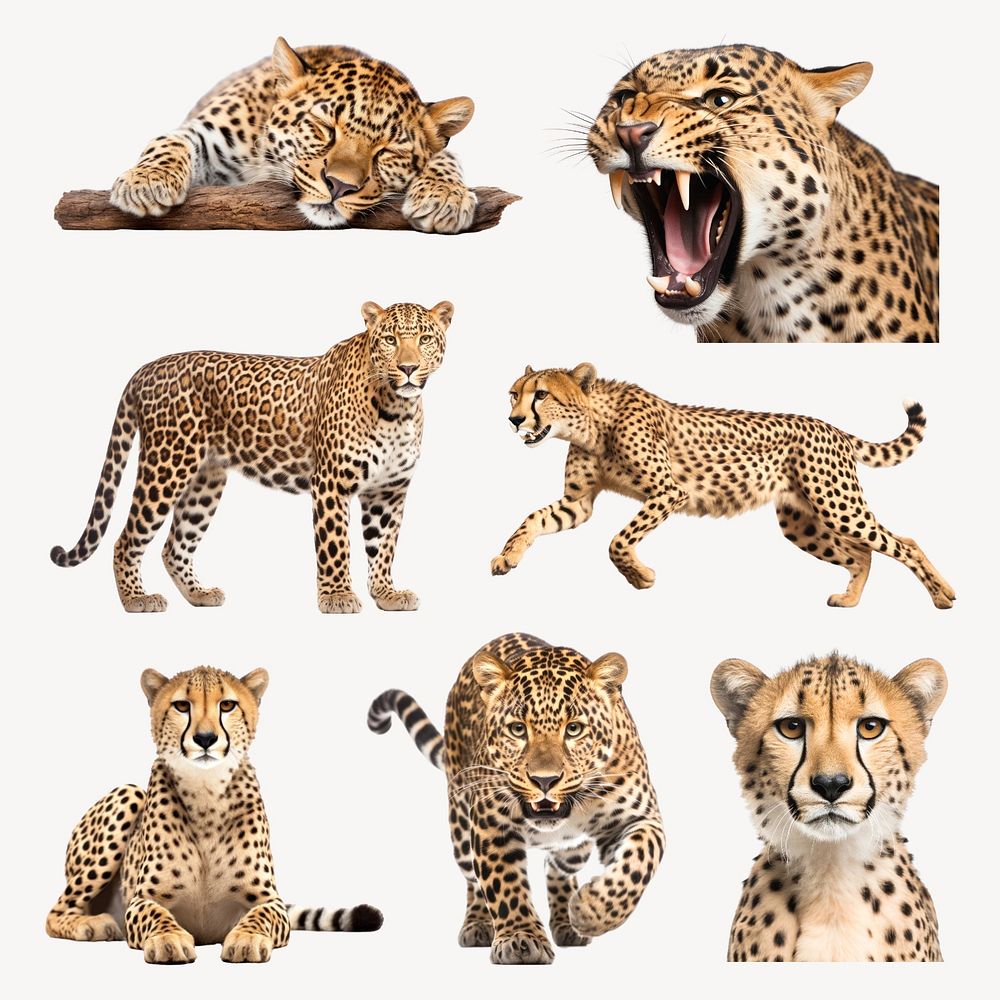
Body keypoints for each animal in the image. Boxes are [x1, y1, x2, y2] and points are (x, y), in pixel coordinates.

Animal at [45, 665, 382, 964]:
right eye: (182, 706)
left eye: (227, 705)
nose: (205, 738)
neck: (206, 794)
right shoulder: (142, 899)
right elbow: (155, 914)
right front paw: (168, 938)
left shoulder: (271, 901)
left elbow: (261, 915)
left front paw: (247, 938)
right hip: (129, 794)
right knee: (56, 912)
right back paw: (95, 924)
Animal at [50, 300, 454, 613]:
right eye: (389, 339)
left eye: (424, 339)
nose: (407, 368)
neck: (397, 409)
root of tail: (146, 369)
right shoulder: (331, 484)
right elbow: (335, 543)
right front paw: (337, 596)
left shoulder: (388, 491)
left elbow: (383, 545)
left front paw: (386, 593)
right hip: (167, 465)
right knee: (126, 539)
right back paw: (137, 599)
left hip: (205, 481)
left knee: (174, 546)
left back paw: (199, 594)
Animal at [109, 37, 478, 233]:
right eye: (325, 128)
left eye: (387, 152)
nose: (340, 186)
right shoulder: (212, 132)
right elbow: (171, 140)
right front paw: (147, 182)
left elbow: (445, 156)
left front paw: (445, 199)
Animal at [367, 632, 663, 965]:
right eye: (518, 729)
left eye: (574, 729)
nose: (545, 780)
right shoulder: (490, 823)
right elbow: (503, 884)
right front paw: (522, 939)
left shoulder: (642, 816)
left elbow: (639, 862)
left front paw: (591, 911)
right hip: (460, 824)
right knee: (473, 880)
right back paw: (478, 925)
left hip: (574, 851)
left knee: (558, 866)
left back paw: (567, 922)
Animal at [492, 364, 954, 608]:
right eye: (513, 394)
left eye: (541, 395)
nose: (513, 420)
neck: (592, 425)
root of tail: (832, 427)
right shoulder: (579, 502)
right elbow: (532, 518)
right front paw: (506, 557)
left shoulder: (668, 491)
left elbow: (617, 541)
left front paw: (640, 576)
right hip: (801, 522)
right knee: (862, 553)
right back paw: (850, 600)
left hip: (838, 504)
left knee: (903, 543)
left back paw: (942, 593)